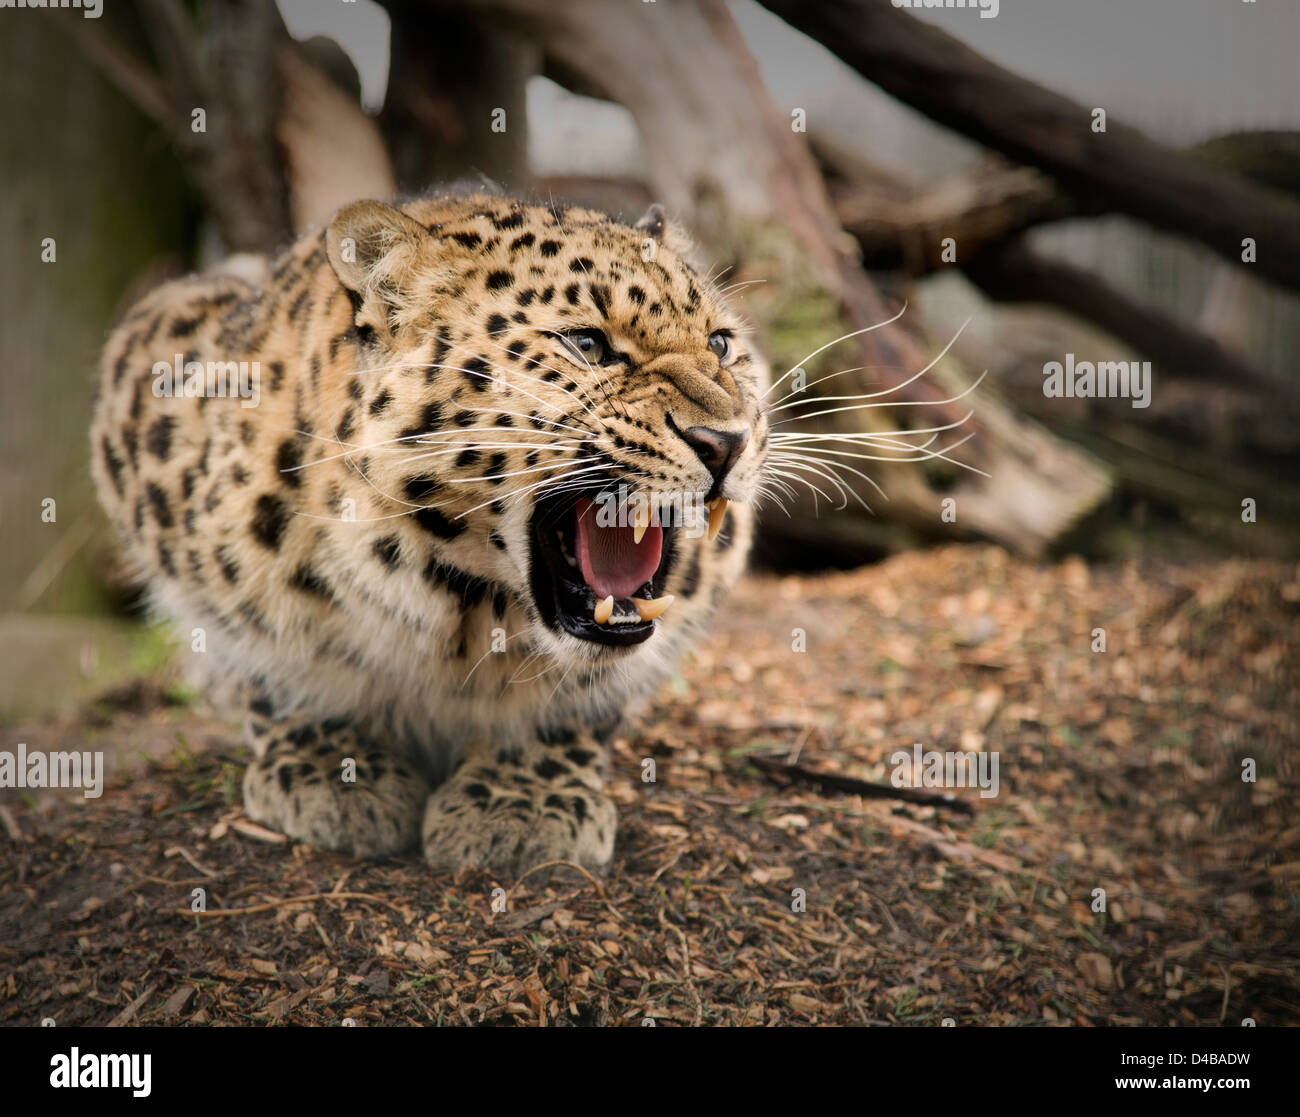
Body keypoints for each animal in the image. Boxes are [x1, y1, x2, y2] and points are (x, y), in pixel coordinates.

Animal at [90, 191, 769, 877]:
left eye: (720, 345)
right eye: (587, 344)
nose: (726, 442)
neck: (461, 606)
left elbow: (581, 695)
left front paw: (522, 794)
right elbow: (266, 657)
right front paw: (329, 762)